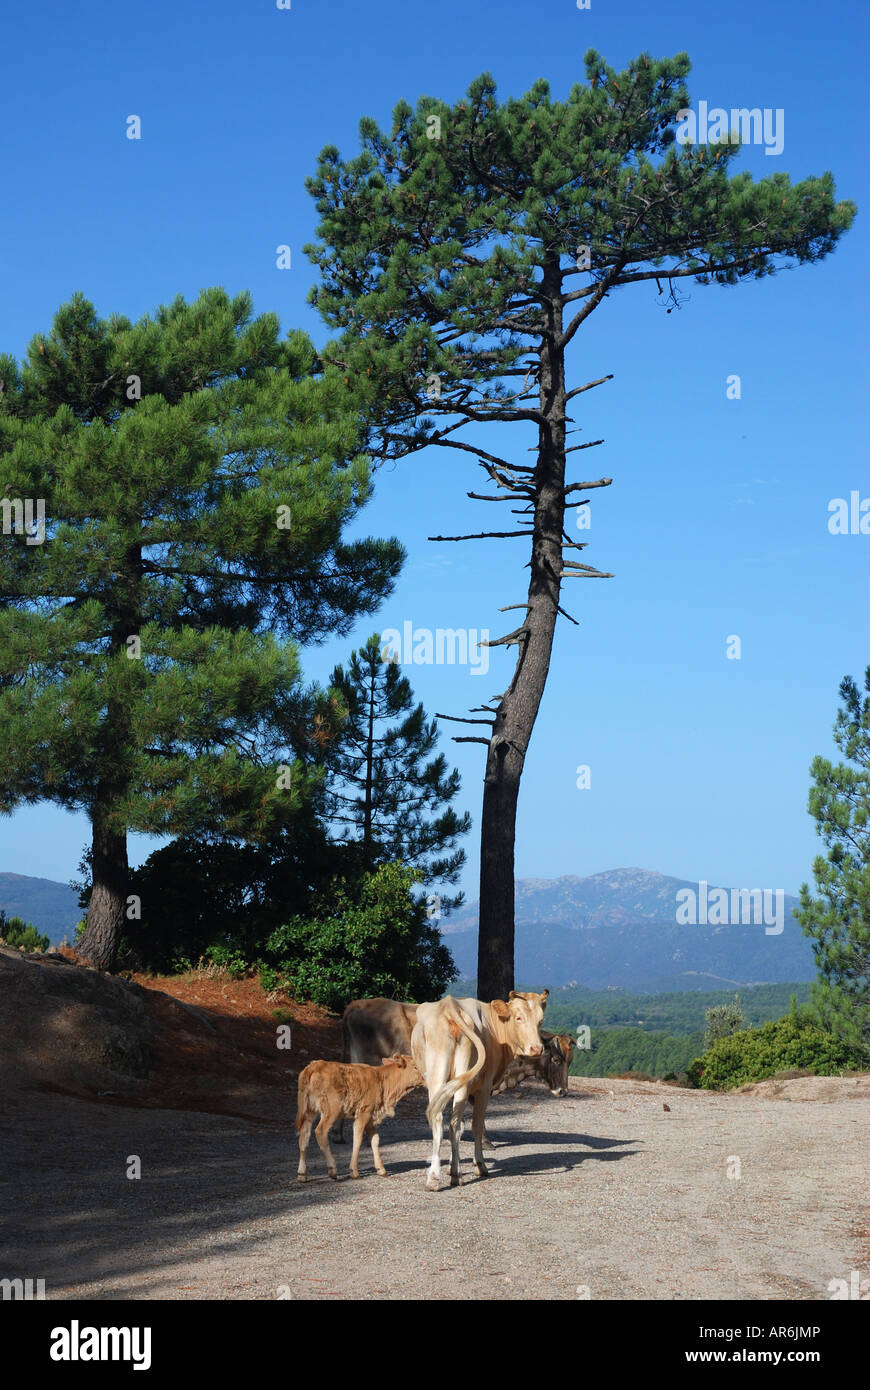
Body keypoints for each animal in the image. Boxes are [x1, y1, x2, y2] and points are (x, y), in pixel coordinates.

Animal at [296, 1054, 423, 1183]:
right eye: (415, 1067)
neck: (383, 1081)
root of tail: (314, 1066)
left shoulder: (371, 1117)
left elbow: (375, 1140)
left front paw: (381, 1169)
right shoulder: (363, 1114)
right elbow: (357, 1140)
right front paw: (354, 1172)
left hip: (309, 1111)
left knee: (304, 1137)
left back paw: (302, 1174)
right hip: (331, 1110)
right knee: (320, 1132)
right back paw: (332, 1170)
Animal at [410, 989, 549, 1190]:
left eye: (540, 1020)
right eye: (518, 1017)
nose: (536, 1049)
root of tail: (449, 1005)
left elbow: (459, 1126)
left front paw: (451, 1165)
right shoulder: (484, 1087)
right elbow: (476, 1125)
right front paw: (478, 1165)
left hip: (437, 1076)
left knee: (439, 1119)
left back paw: (434, 1178)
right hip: (464, 1079)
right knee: (457, 1123)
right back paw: (458, 1175)